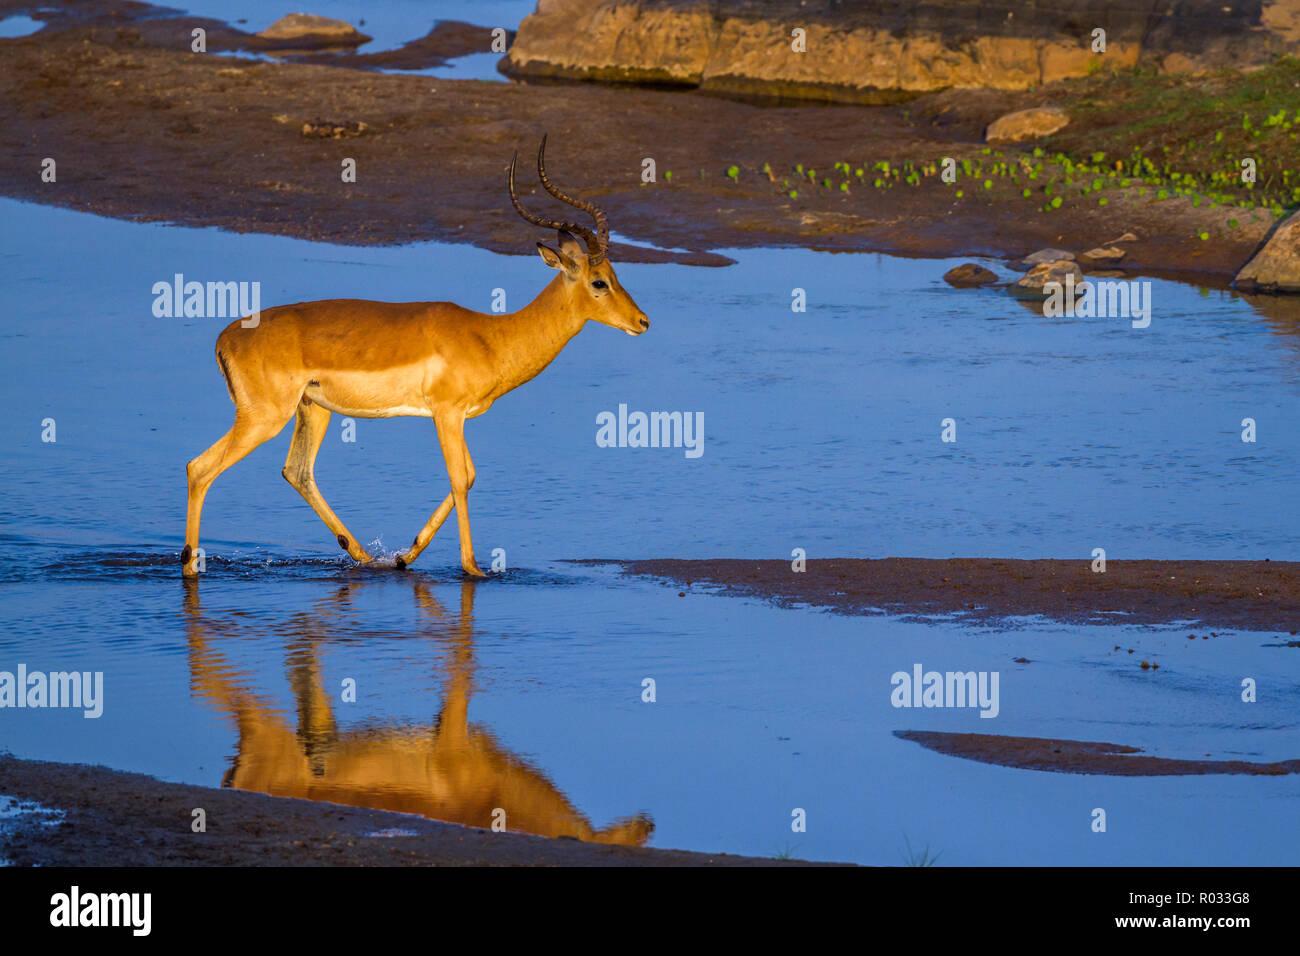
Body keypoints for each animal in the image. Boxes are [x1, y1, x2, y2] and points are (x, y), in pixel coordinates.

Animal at [182, 137, 649, 577]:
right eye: (599, 281)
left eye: (617, 274)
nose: (642, 322)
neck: (491, 336)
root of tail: (225, 337)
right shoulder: (446, 413)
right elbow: (461, 478)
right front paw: (473, 568)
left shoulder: (455, 417)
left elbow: (470, 475)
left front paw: (407, 556)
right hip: (264, 417)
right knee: (199, 468)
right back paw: (189, 566)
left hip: (313, 410)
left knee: (296, 471)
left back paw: (367, 558)